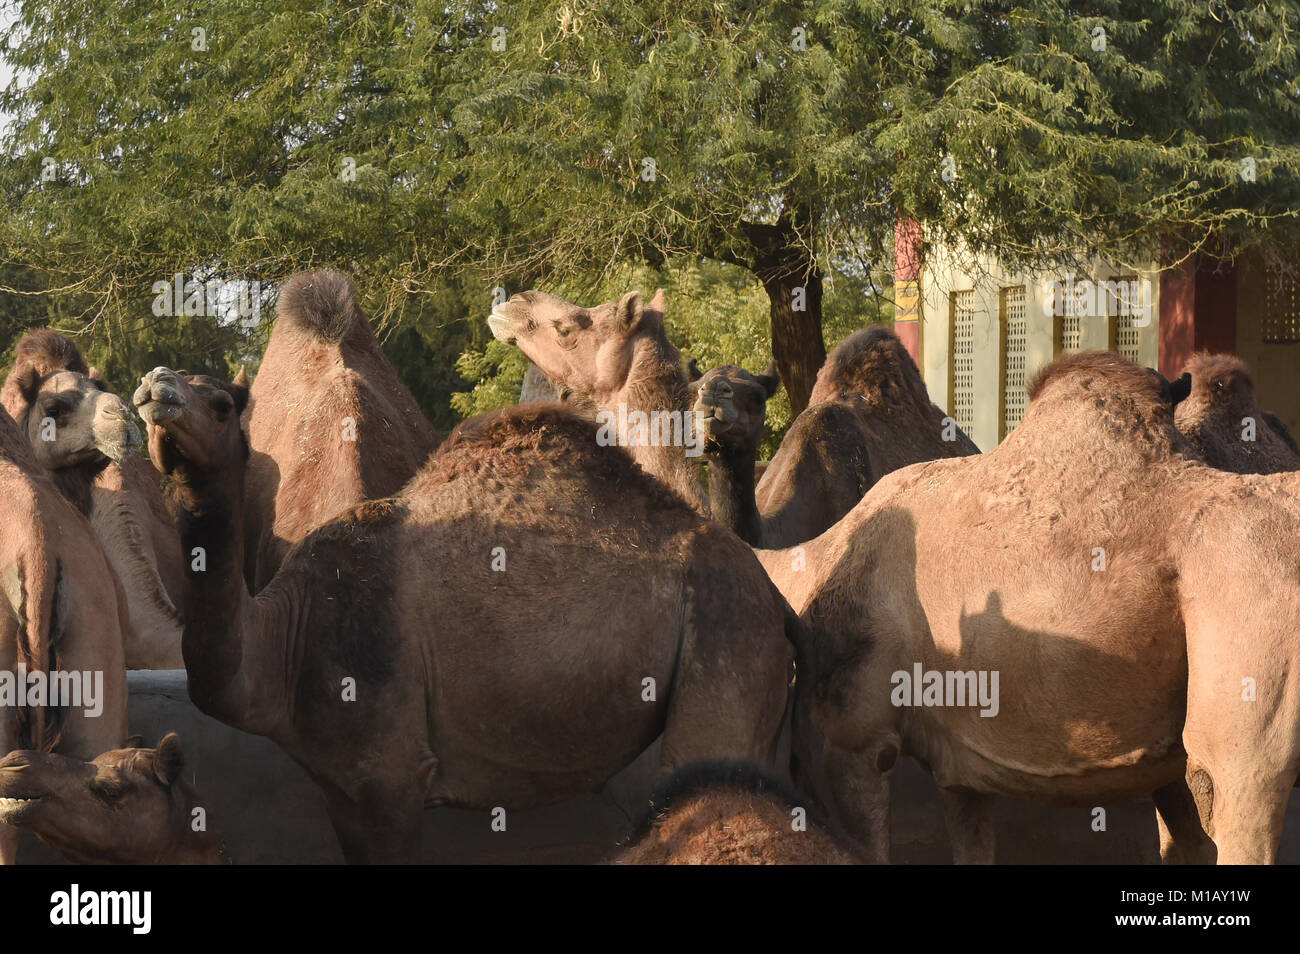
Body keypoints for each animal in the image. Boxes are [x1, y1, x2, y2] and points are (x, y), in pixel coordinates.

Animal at [133, 367, 793, 863]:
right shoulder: (340, 788)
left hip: (731, 635)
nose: (154, 384)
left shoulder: (388, 775)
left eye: (222, 405)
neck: (282, 643)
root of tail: (775, 595)